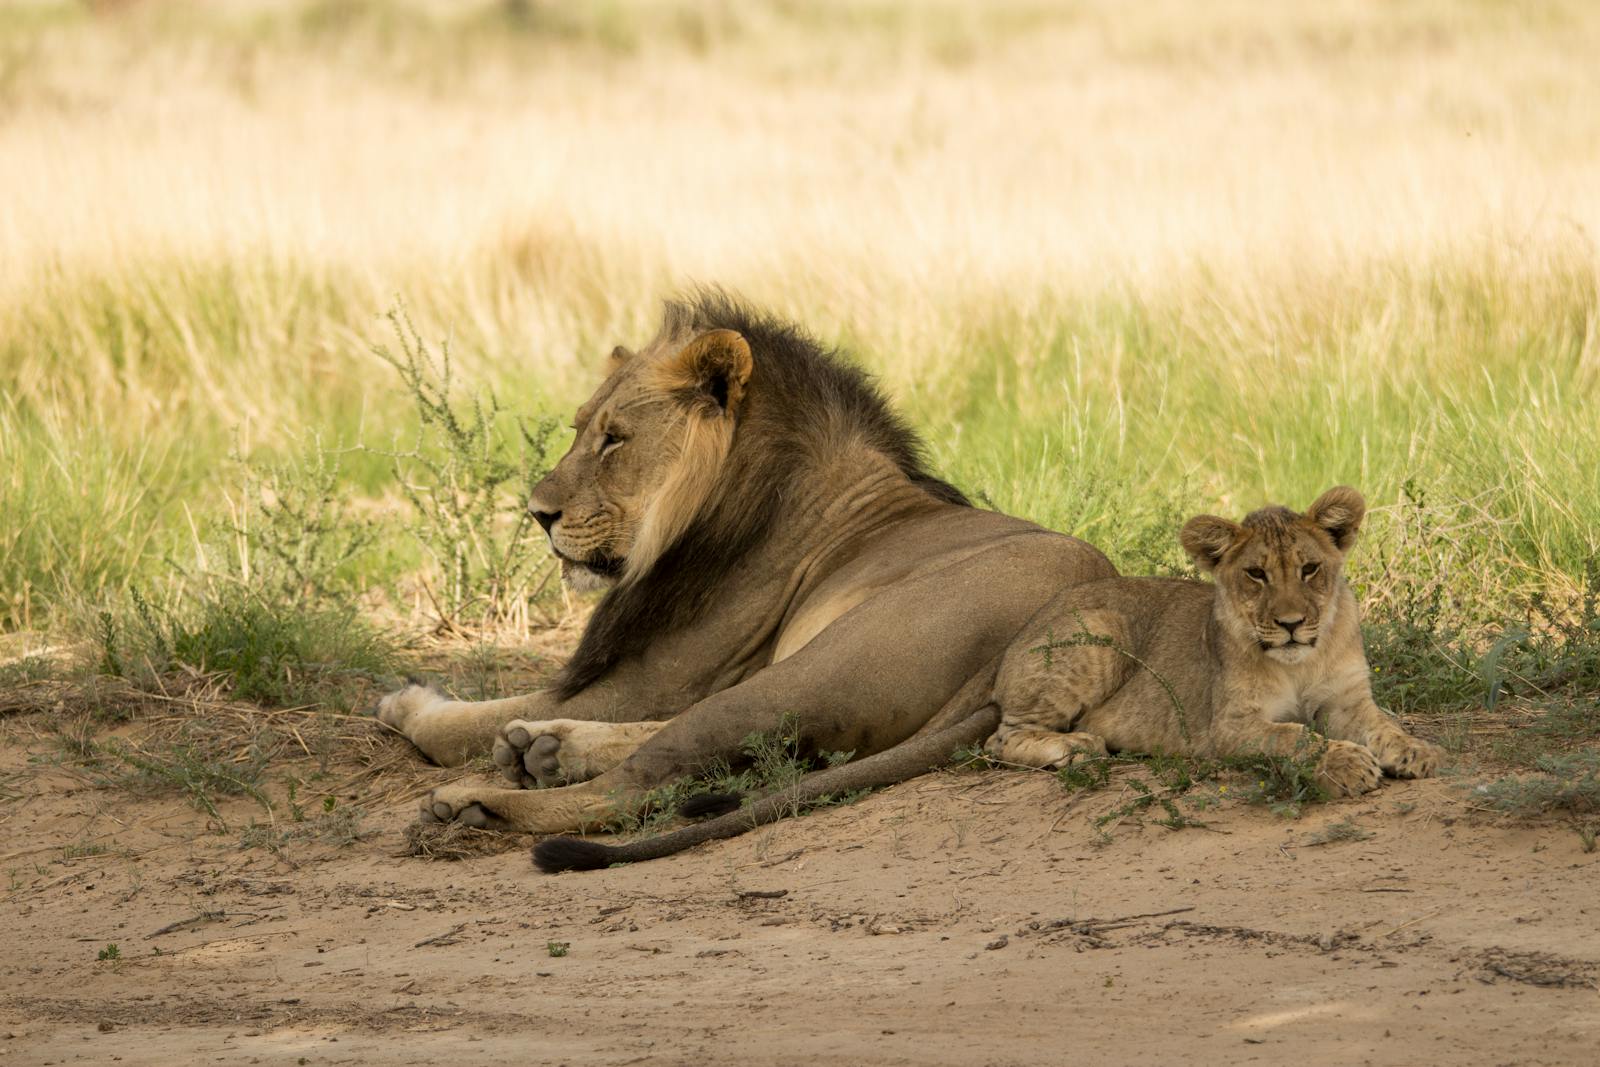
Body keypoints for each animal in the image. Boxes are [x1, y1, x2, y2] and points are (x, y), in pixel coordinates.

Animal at [377, 293, 1117, 835]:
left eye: (615, 439)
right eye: (579, 428)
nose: (538, 512)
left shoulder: (647, 682)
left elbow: (458, 723)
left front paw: (408, 701)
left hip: (823, 665)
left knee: (634, 786)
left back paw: (481, 801)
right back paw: (546, 747)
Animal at [531, 486, 1442, 872]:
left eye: (1312, 570)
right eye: (1255, 575)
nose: (1288, 621)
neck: (1303, 657)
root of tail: (1007, 649)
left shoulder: (1349, 695)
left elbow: (1382, 721)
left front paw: (1413, 752)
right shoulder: (1230, 725)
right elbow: (1293, 737)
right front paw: (1345, 765)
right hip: (1098, 637)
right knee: (1008, 736)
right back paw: (1076, 752)